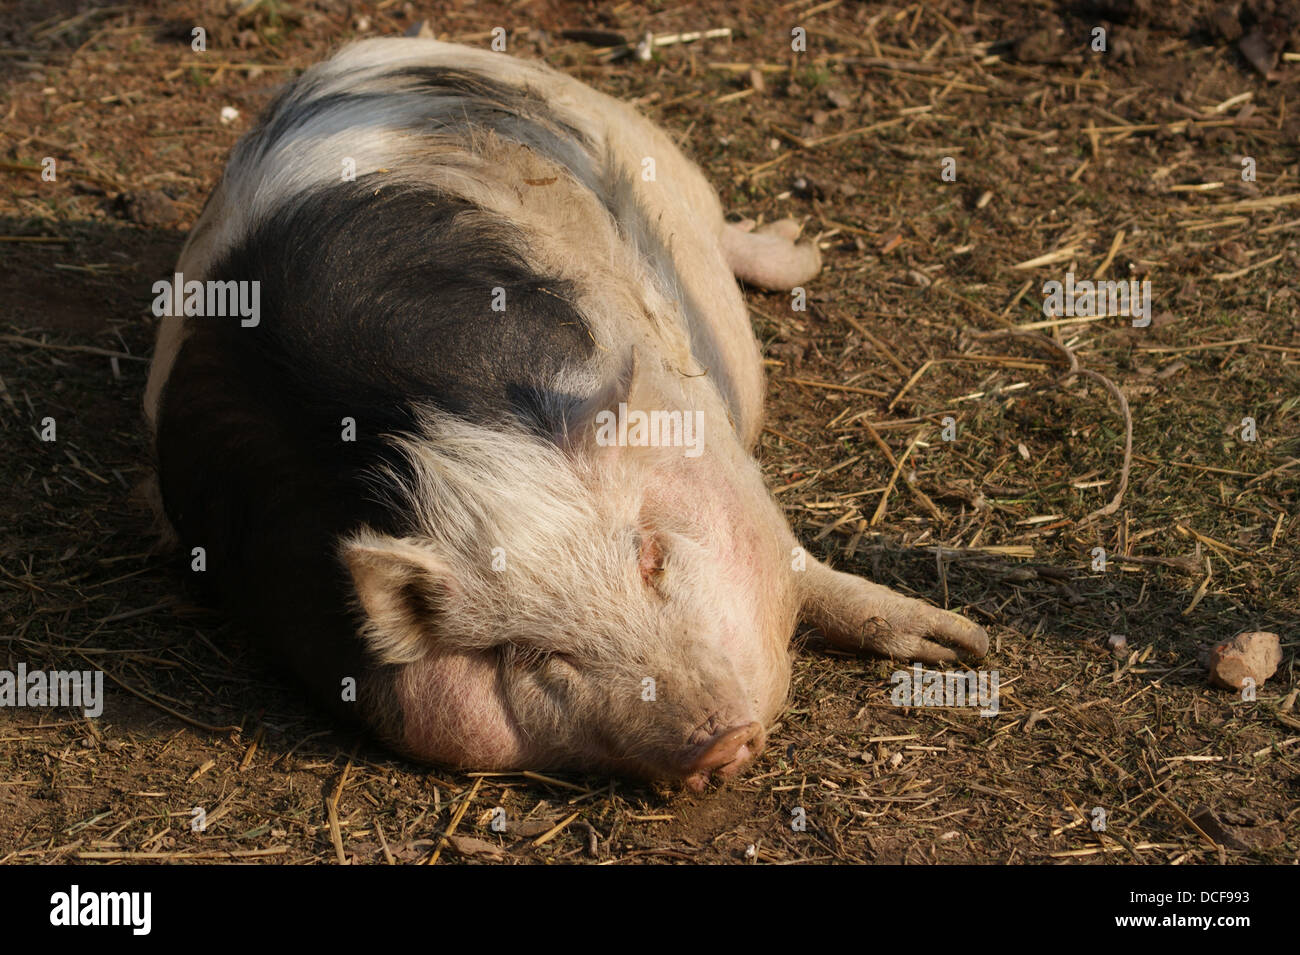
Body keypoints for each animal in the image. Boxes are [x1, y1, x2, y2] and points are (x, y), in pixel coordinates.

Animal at [144, 38, 988, 790]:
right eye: (538, 654)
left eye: (652, 558)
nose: (721, 740)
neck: (463, 459)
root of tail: (346, 58)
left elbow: (806, 569)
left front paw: (963, 644)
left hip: (643, 141)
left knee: (724, 231)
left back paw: (797, 244)